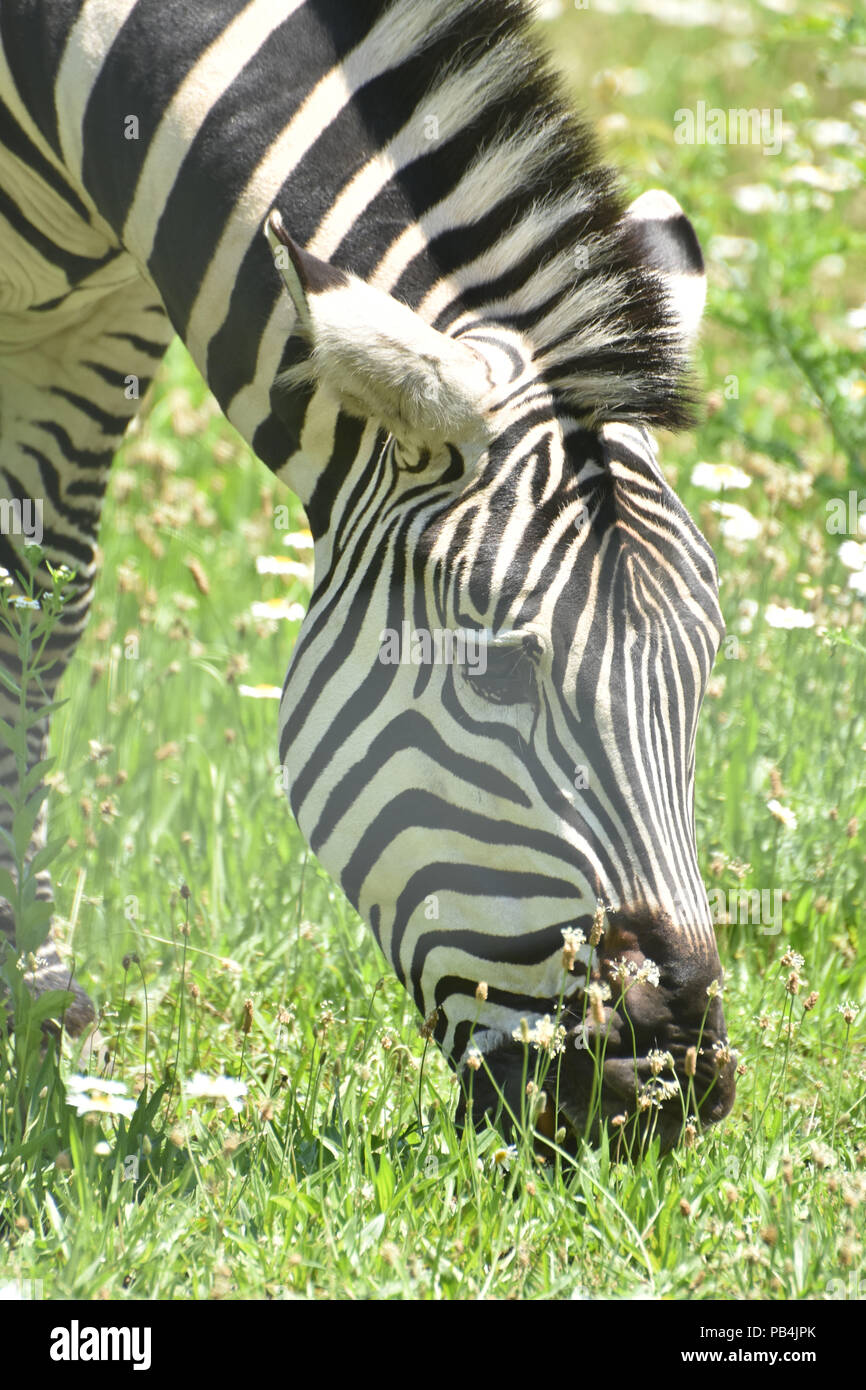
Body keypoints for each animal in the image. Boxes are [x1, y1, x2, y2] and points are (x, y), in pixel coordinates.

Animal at [0, 0, 735, 1150]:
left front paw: (35, 997)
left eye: (704, 665)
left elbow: (40, 614)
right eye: (495, 677)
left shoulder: (102, 323)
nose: (670, 1085)